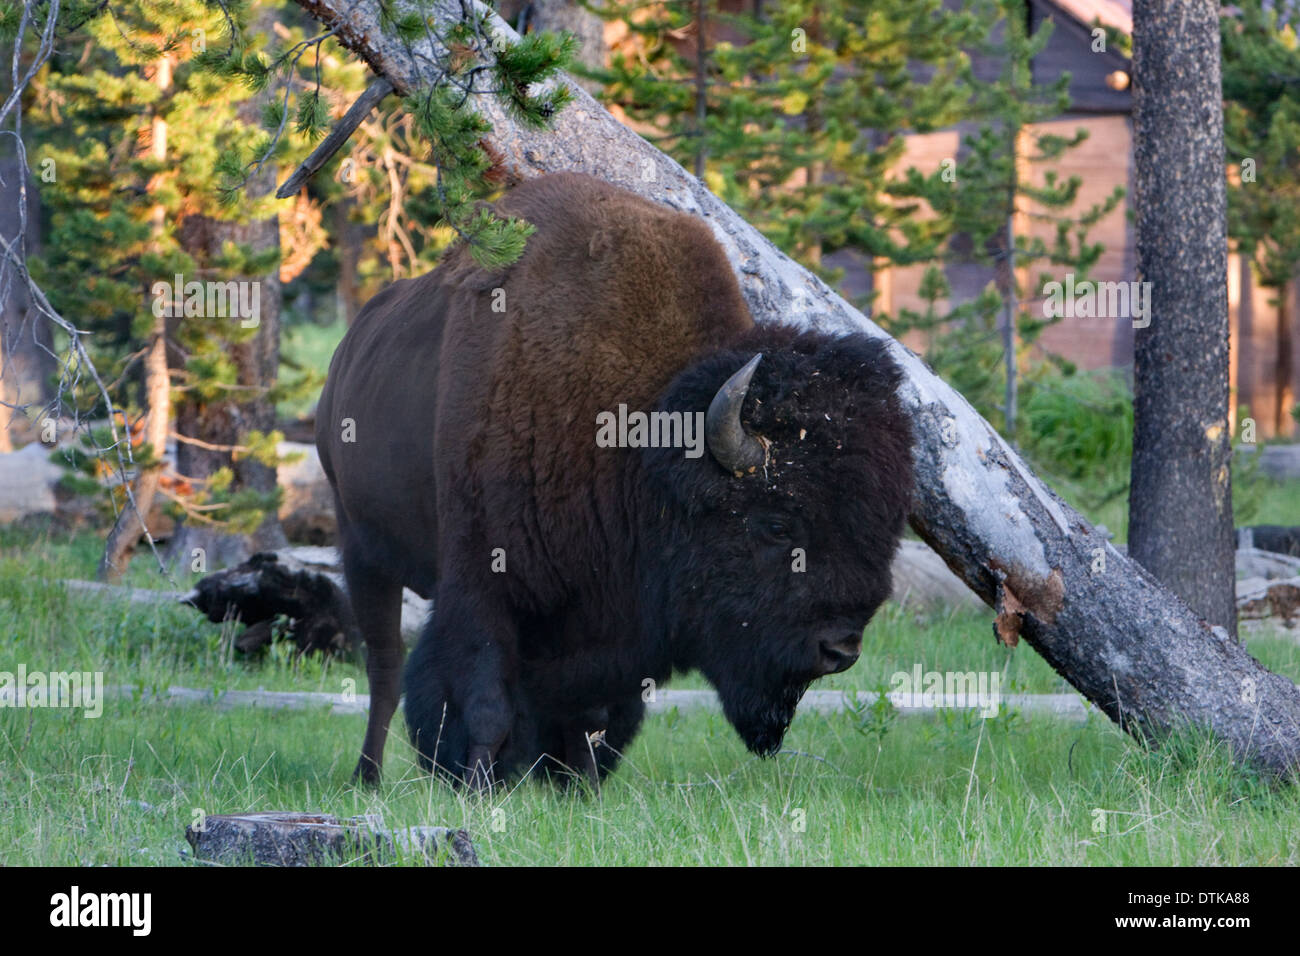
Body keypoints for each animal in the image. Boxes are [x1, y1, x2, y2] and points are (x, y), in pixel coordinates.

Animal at [316, 172, 914, 787]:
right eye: (775, 525)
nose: (841, 648)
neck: (637, 441)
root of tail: (345, 355)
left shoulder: (604, 616)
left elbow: (593, 719)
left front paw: (577, 789)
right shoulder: (482, 585)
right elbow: (484, 701)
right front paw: (479, 786)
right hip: (363, 552)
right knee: (385, 670)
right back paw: (368, 777)